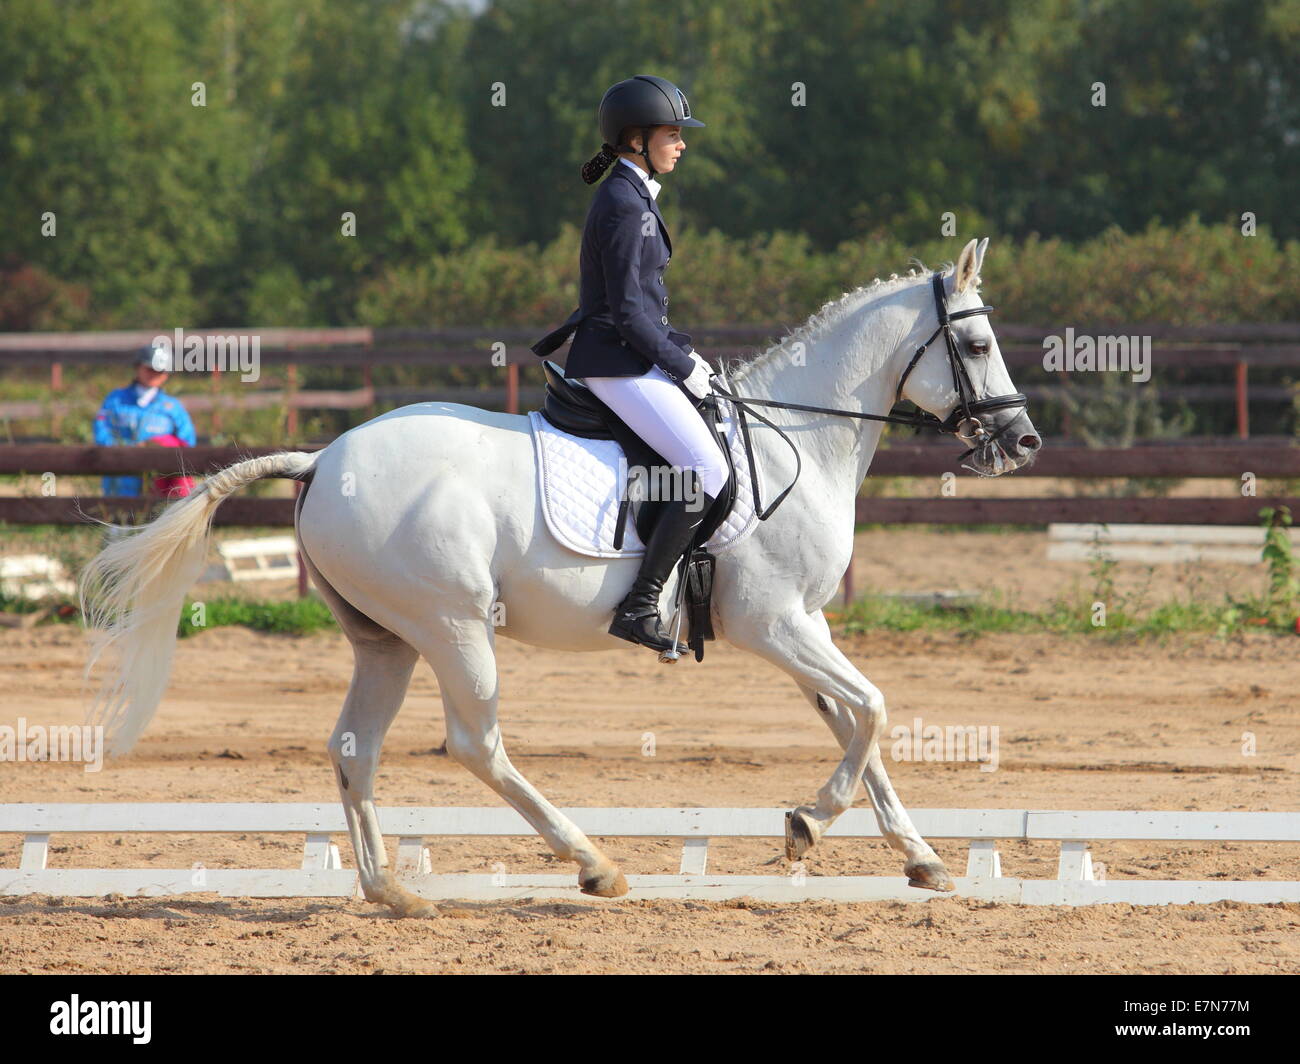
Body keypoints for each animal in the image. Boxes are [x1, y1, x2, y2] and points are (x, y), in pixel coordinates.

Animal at [79, 237, 1040, 917]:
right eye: (977, 341)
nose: (1024, 442)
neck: (795, 437)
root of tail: (322, 459)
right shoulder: (775, 624)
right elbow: (873, 709)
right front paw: (807, 824)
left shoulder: (804, 624)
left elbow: (857, 724)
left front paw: (920, 858)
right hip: (455, 625)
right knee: (476, 744)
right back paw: (593, 865)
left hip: (388, 640)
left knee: (356, 747)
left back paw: (393, 892)